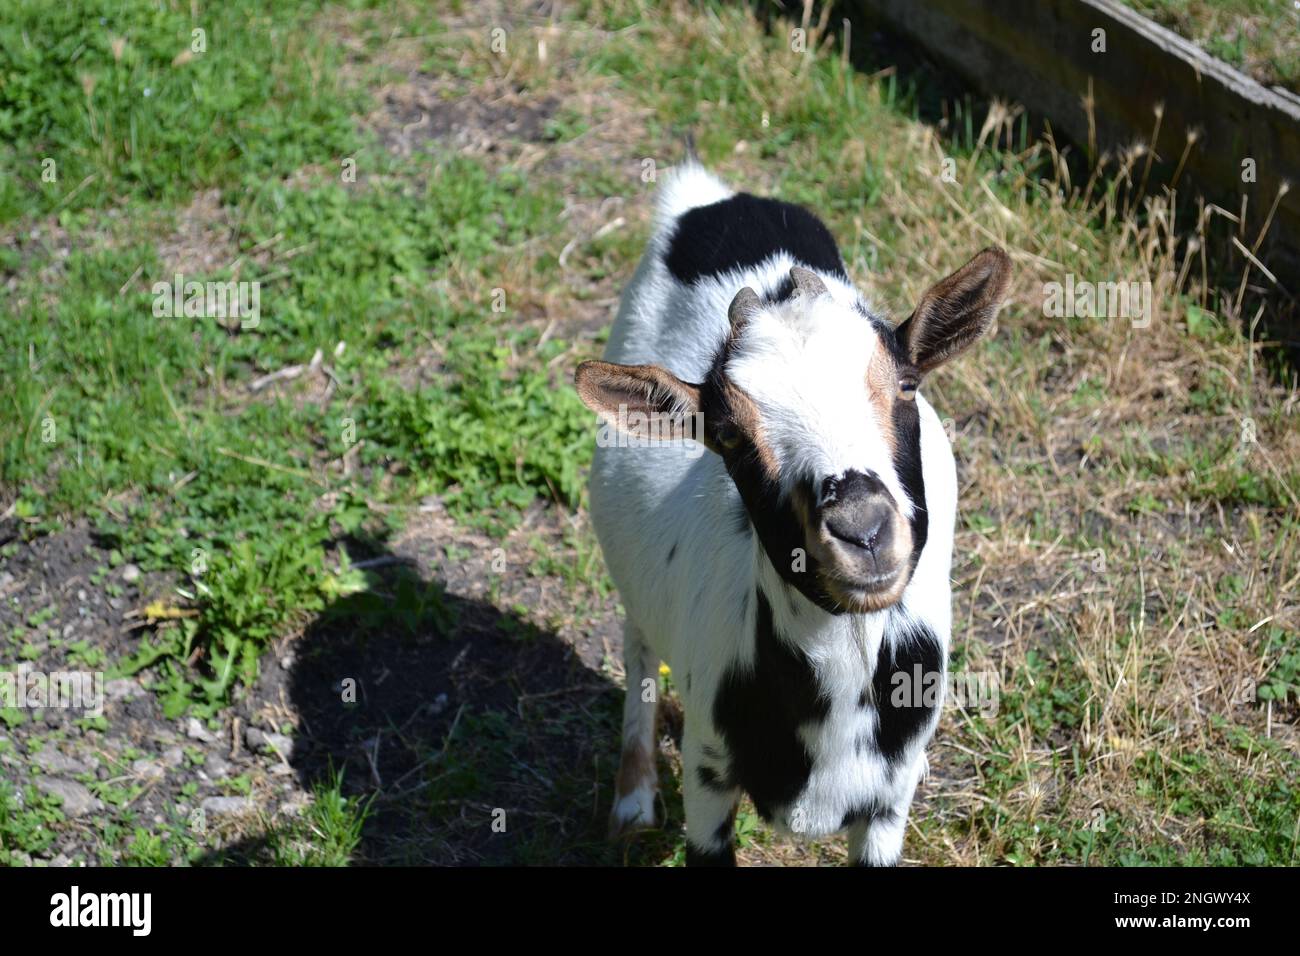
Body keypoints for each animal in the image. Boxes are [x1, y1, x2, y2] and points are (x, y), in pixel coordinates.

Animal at [575, 161, 1010, 866]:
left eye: (906, 384)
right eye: (728, 434)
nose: (862, 529)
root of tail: (716, 198)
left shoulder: (888, 806)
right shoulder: (707, 774)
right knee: (638, 643)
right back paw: (634, 799)